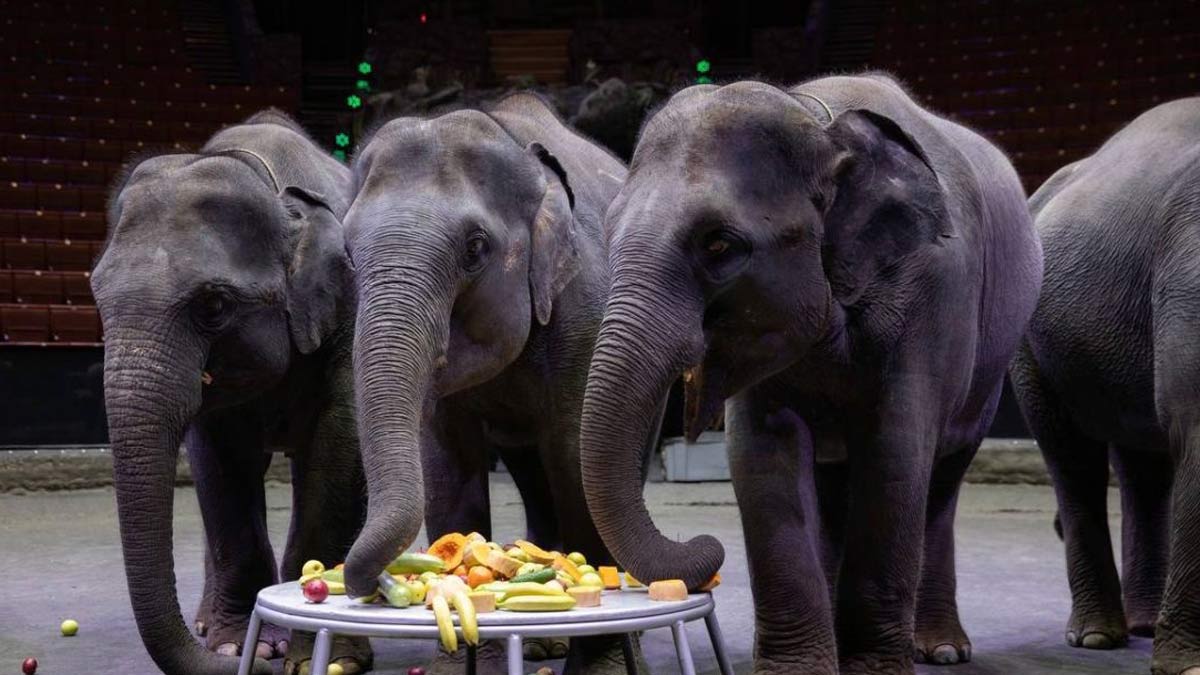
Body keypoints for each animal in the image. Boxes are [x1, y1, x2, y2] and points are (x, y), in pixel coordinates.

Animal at [94, 109, 370, 675]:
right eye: (96, 295)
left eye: (214, 306)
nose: (256, 662)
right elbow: (217, 464)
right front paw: (238, 648)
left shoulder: (349, 307)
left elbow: (341, 443)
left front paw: (322, 654)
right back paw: (207, 623)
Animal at [339, 92, 642, 673]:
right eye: (346, 251)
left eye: (475, 248)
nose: (377, 582)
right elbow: (445, 463)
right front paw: (457, 658)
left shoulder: (588, 315)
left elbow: (576, 458)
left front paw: (601, 661)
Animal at [577, 75, 1043, 674]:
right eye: (610, 230)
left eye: (719, 244)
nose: (706, 547)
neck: (820, 126)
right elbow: (762, 457)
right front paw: (799, 668)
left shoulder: (930, 300)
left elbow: (894, 455)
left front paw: (872, 670)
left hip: (989, 369)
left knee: (942, 480)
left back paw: (940, 648)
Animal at [1009, 97, 1200, 675]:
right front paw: (1186, 664)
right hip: (1031, 345)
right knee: (1071, 457)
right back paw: (1097, 636)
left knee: (1144, 465)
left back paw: (1143, 624)